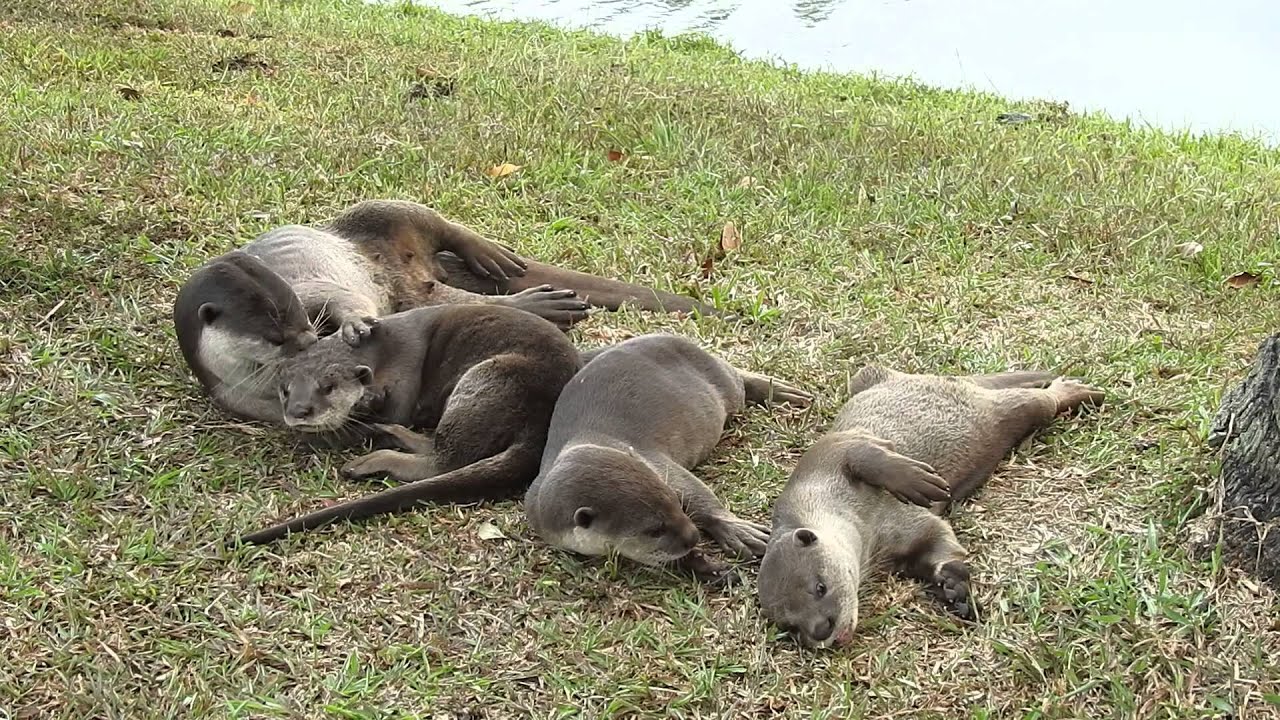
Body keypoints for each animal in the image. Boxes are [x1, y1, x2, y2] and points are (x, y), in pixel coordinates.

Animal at [234, 303, 581, 545]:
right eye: (285, 390)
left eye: (328, 387)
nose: (299, 410)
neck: (374, 353)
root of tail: (543, 420)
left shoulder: (405, 373)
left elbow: (395, 410)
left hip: (489, 377)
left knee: (443, 459)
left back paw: (376, 454)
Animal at [524, 334, 812, 582]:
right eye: (654, 530)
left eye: (675, 501)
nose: (693, 536)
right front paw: (702, 564)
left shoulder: (653, 461)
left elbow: (696, 491)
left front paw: (737, 530)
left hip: (722, 381)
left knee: (738, 378)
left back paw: (778, 389)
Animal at [756, 366, 1104, 649]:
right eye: (791, 626)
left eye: (820, 587)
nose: (819, 630)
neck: (864, 525)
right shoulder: (905, 540)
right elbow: (936, 542)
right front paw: (953, 585)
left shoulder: (829, 453)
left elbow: (866, 453)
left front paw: (915, 481)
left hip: (1002, 407)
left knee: (1041, 401)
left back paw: (1074, 389)